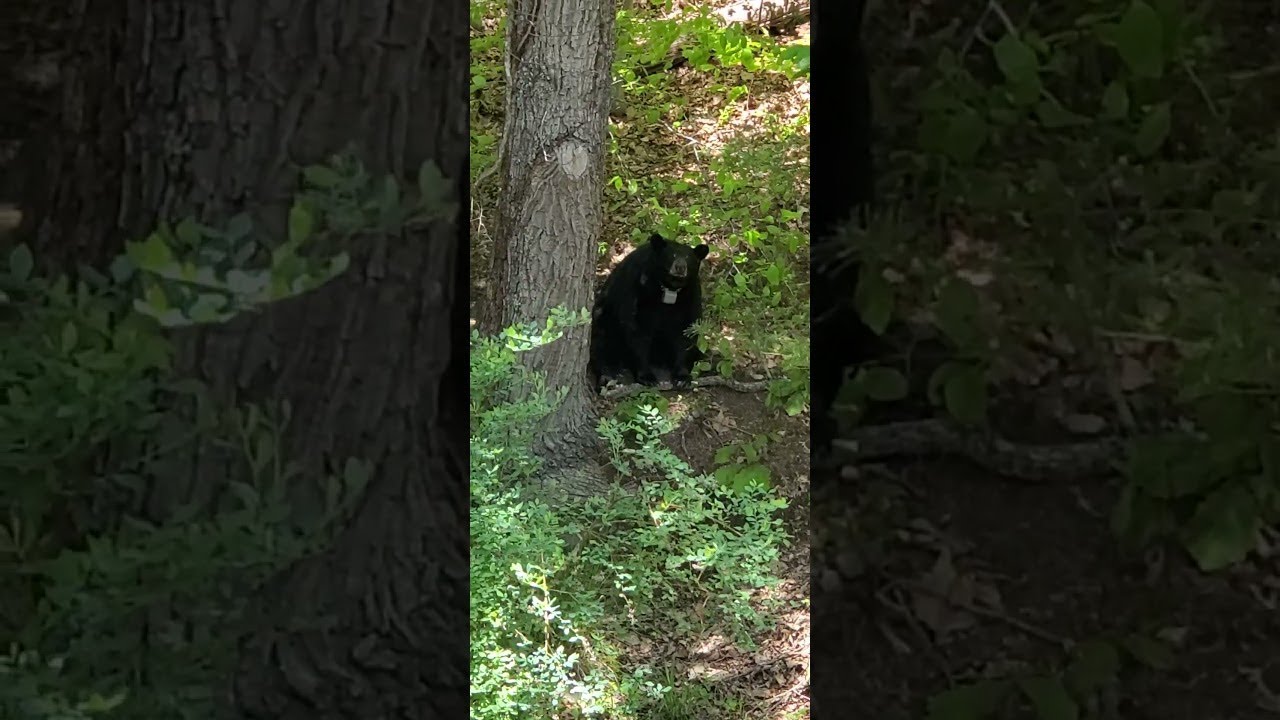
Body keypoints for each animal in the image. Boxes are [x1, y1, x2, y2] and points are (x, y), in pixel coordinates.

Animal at [589, 233, 710, 390]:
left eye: (689, 258)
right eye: (672, 255)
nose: (680, 267)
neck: (668, 288)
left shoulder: (691, 293)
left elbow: (687, 329)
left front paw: (682, 377)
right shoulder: (636, 285)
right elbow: (636, 328)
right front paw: (646, 376)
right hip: (604, 317)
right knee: (601, 340)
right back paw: (608, 375)